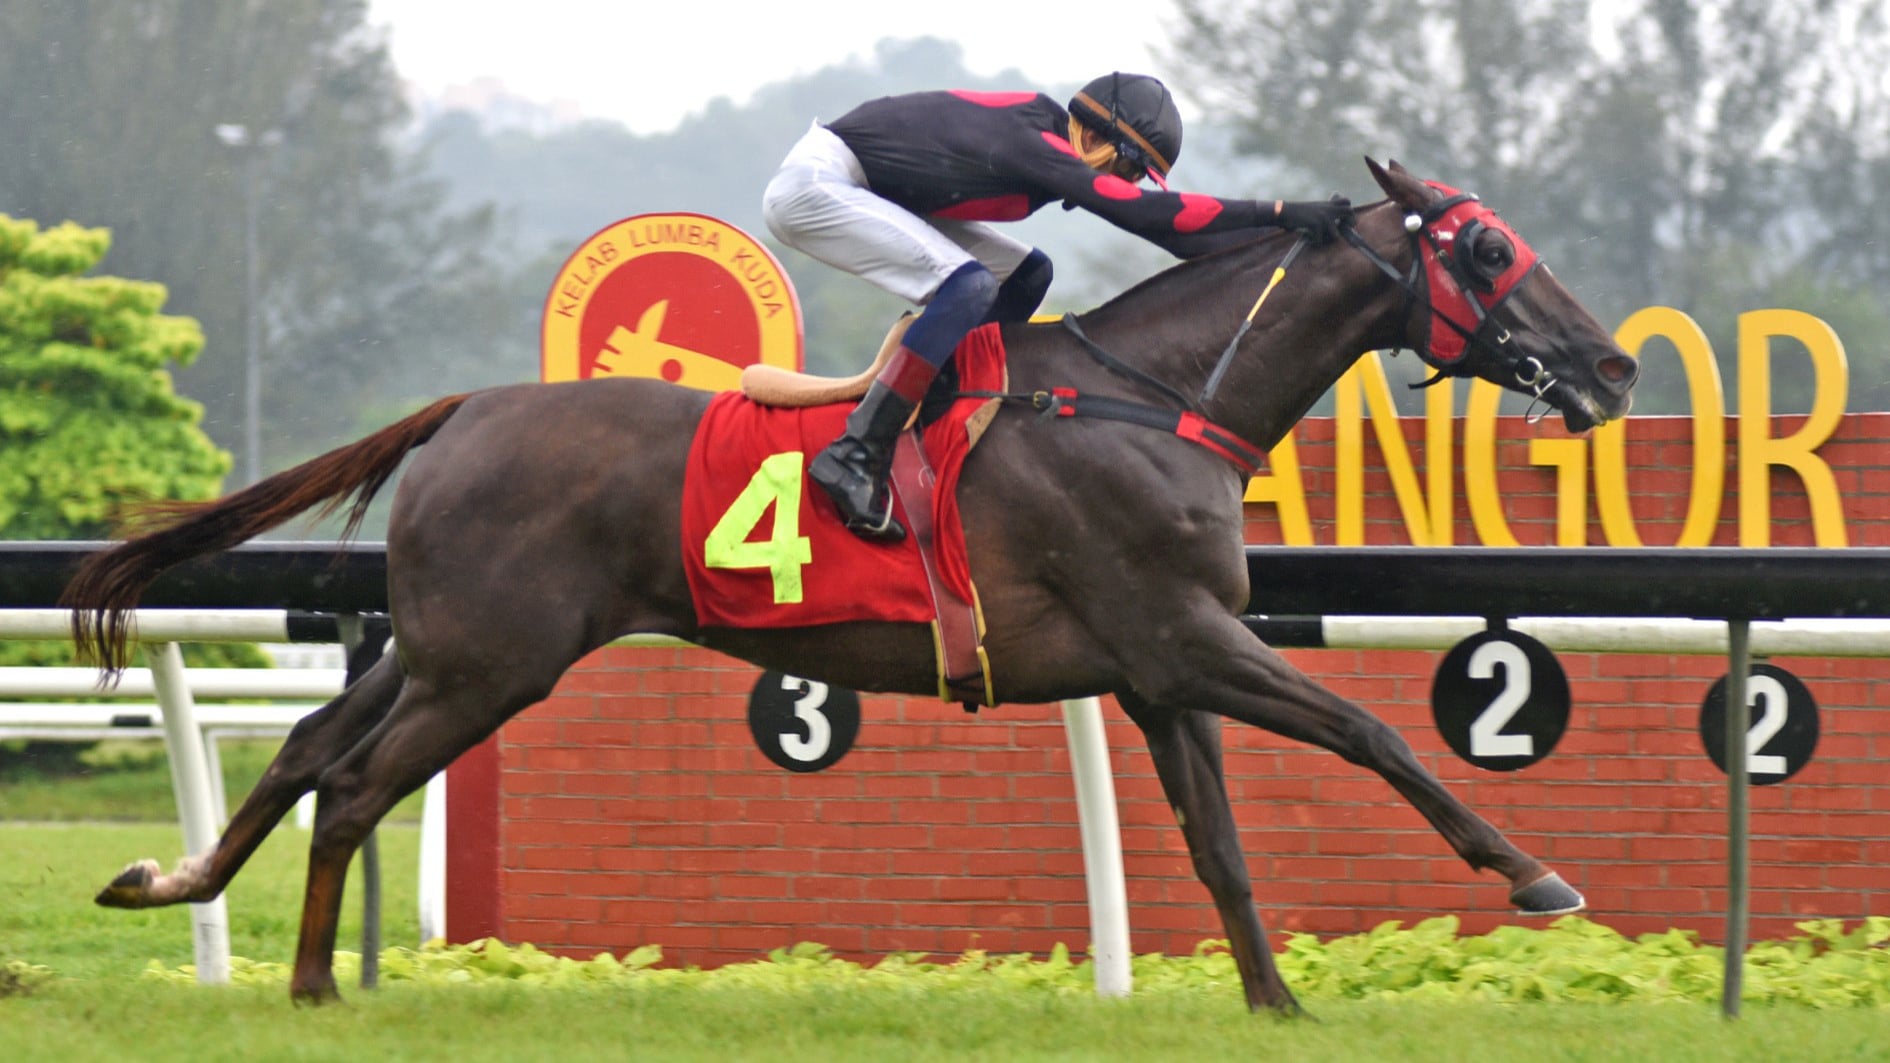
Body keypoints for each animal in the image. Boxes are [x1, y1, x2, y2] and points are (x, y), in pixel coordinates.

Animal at [65, 159, 1637, 1010]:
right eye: (1487, 246)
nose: (1614, 367)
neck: (1157, 399)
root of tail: (462, 410)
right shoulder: (1185, 637)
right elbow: (1372, 733)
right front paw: (1535, 874)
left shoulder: (1155, 670)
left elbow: (1222, 847)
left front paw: (1277, 1002)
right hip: (490, 666)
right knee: (348, 786)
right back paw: (313, 983)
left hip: (438, 645)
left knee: (306, 751)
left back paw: (174, 879)